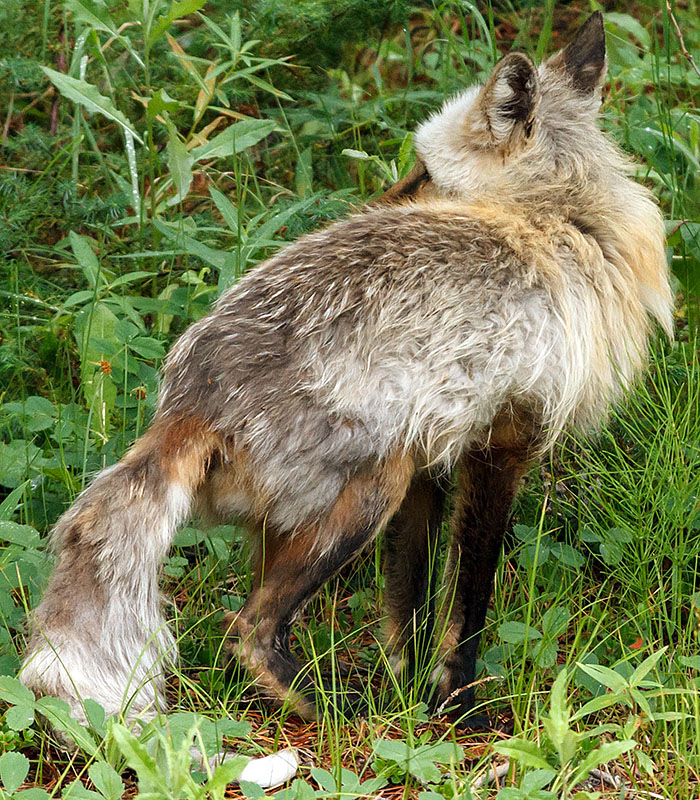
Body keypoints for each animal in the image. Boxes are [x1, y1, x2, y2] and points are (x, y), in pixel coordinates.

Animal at [21, 12, 673, 729]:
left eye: (421, 169)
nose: (364, 209)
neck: (559, 223)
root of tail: (188, 398)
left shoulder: (434, 459)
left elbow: (409, 608)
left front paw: (411, 699)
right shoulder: (502, 442)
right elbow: (467, 609)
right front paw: (459, 710)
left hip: (334, 504)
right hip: (368, 492)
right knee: (249, 627)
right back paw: (333, 708)